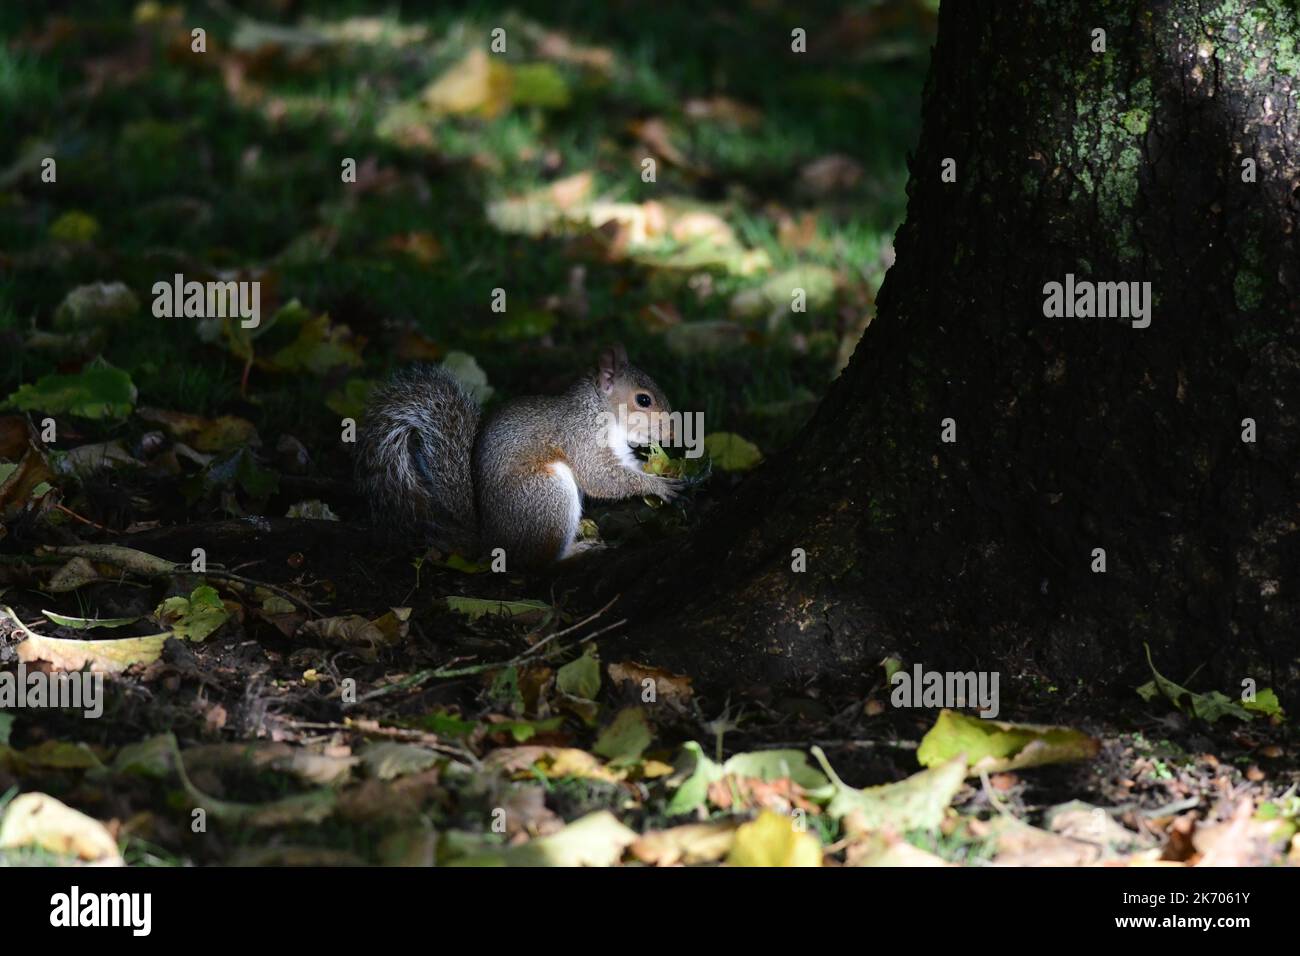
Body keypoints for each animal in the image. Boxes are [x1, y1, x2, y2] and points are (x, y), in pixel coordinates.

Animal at [355, 346, 684, 567]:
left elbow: (625, 468)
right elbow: (600, 478)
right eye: (643, 400)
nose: (672, 433)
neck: (599, 409)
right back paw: (576, 551)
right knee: (538, 561)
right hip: (546, 494)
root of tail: (491, 539)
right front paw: (659, 486)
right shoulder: (581, 437)